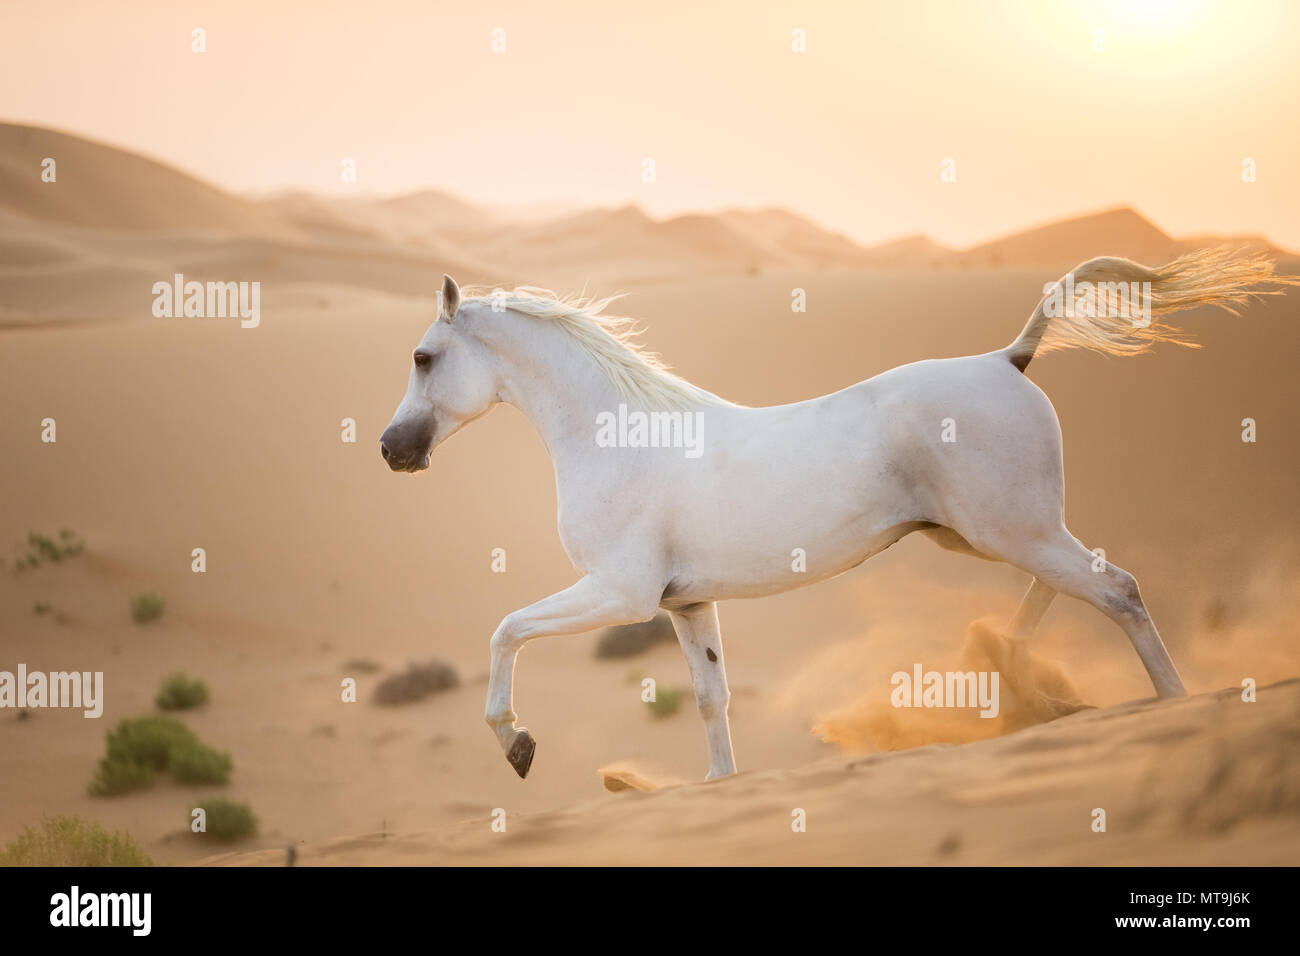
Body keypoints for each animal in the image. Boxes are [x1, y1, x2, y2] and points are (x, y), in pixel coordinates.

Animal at [380, 248, 1295, 780]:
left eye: (424, 357)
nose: (391, 449)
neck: (618, 434)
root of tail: (1009, 356)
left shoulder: (620, 594)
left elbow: (505, 631)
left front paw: (517, 745)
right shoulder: (685, 604)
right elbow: (710, 700)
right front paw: (720, 789)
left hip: (1011, 531)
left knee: (1118, 590)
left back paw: (1168, 704)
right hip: (985, 535)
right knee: (1073, 587)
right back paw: (1008, 670)